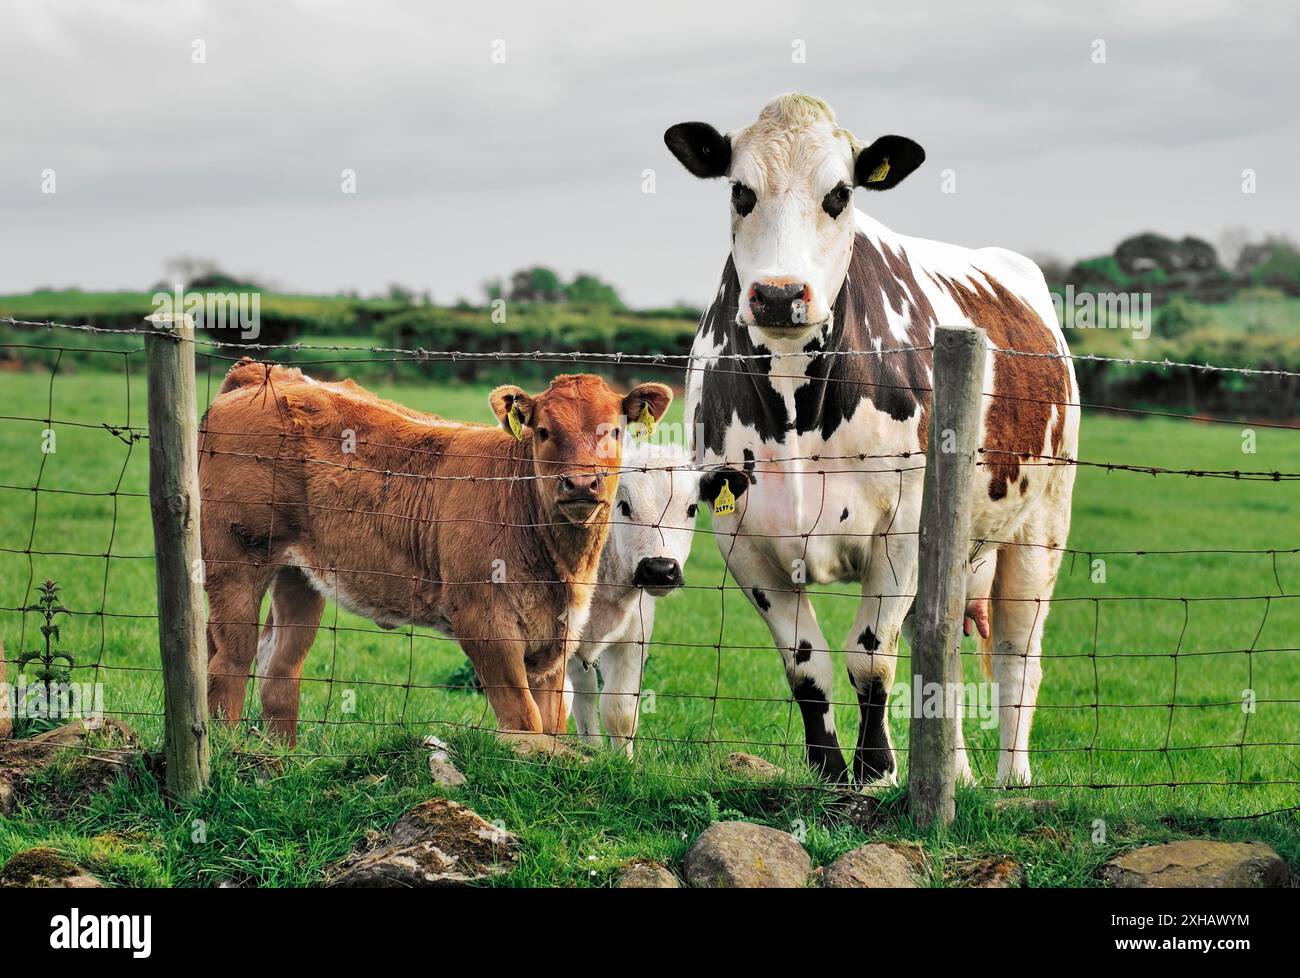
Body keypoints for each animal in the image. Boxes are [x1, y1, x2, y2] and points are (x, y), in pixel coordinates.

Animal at [198, 360, 672, 749]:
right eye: (543, 431)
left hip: (298, 574)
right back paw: (228, 751)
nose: (581, 484)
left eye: (614, 430)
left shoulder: (557, 636)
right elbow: (524, 722)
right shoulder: (484, 623)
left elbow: (551, 724)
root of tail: (265, 374)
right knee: (229, 659)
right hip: (235, 560)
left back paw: (283, 758)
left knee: (280, 664)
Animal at [566, 440, 748, 754]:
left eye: (691, 509)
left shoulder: (634, 636)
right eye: (624, 506)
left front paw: (617, 760)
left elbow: (619, 709)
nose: (660, 569)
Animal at [666, 94, 1079, 786]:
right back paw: (957, 776)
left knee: (1019, 655)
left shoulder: (904, 533)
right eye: (741, 191)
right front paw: (830, 771)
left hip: (1041, 524)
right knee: (942, 647)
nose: (779, 295)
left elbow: (870, 658)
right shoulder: (741, 536)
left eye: (839, 194)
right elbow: (807, 663)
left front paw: (877, 771)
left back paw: (1011, 781)